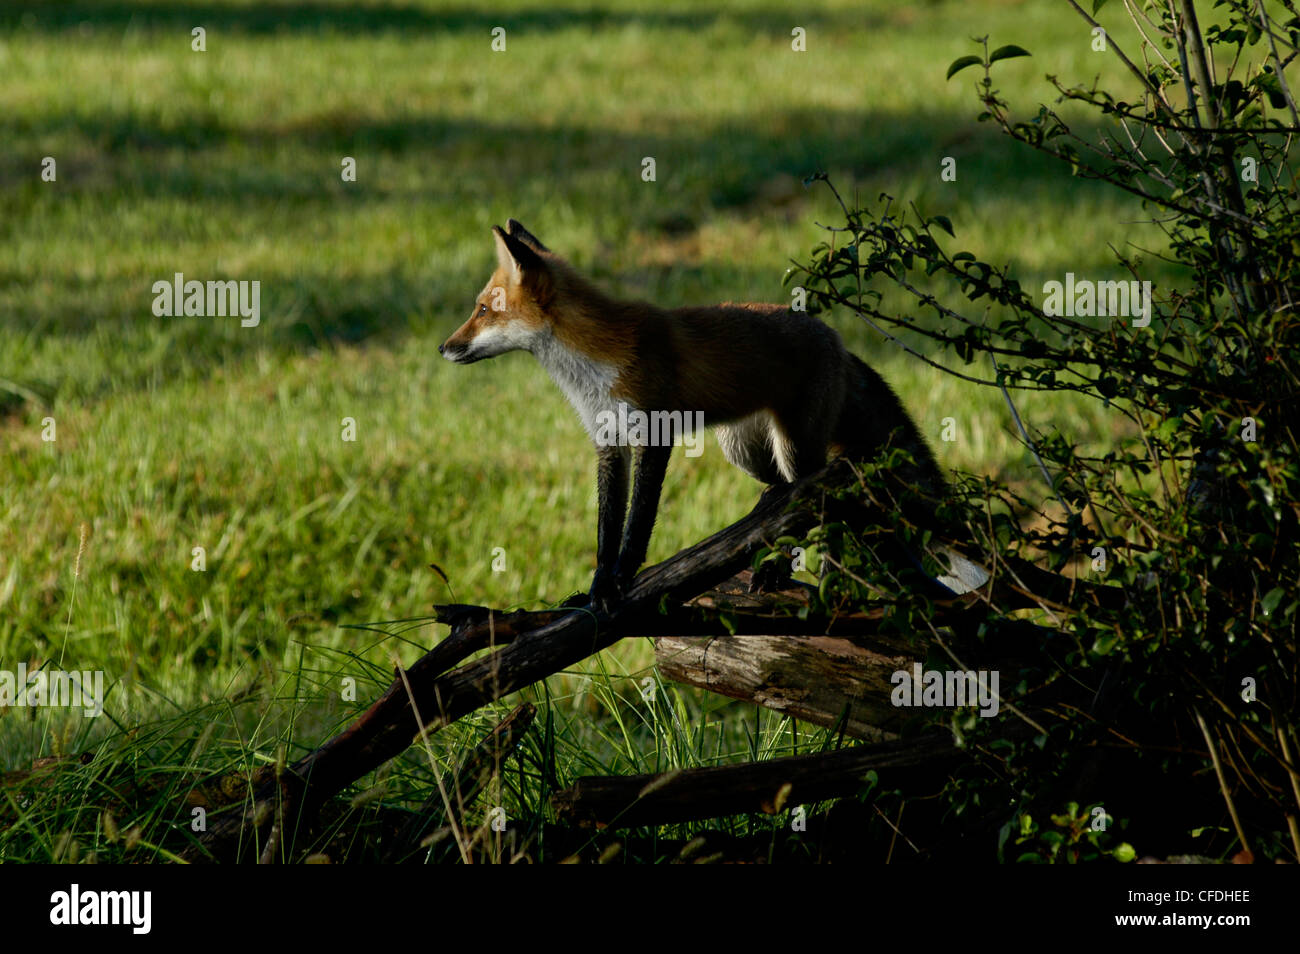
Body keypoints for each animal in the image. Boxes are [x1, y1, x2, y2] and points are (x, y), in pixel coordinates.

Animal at [440, 220, 980, 611]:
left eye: (483, 310)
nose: (443, 348)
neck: (590, 367)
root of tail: (838, 340)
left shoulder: (653, 432)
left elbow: (637, 525)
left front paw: (621, 583)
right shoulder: (608, 441)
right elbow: (606, 529)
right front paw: (593, 588)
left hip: (796, 447)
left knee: (819, 507)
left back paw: (811, 579)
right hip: (744, 449)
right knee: (785, 498)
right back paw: (771, 533)